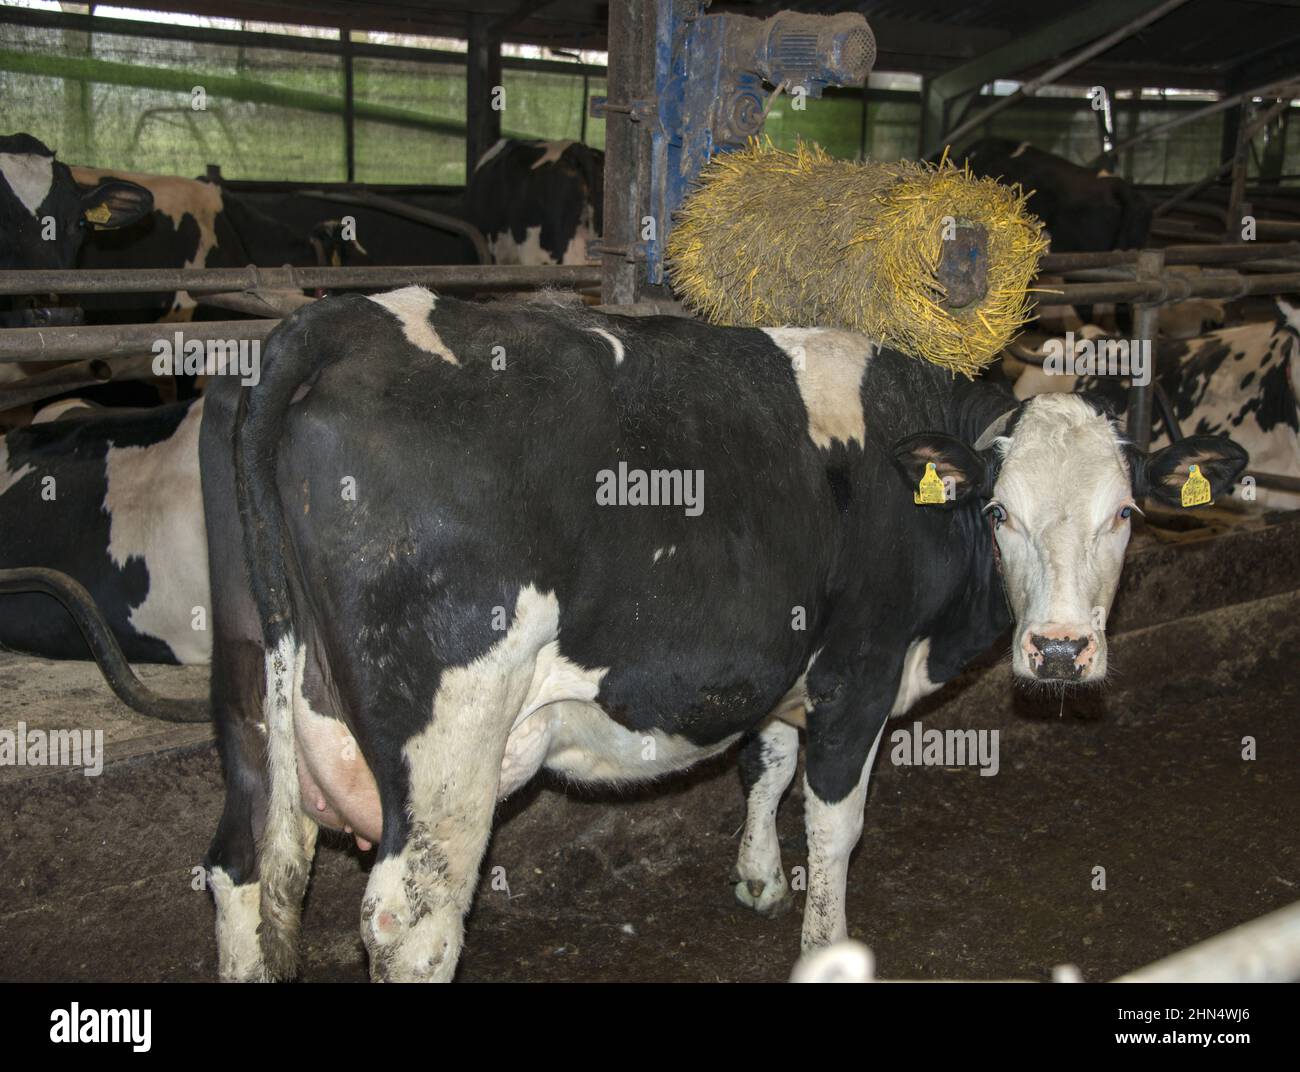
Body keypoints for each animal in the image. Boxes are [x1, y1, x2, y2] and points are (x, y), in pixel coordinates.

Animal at [197, 286, 1245, 982]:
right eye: (1000, 514)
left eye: (1123, 514)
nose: (1061, 650)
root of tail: (339, 321)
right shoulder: (859, 670)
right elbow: (834, 819)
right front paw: (824, 946)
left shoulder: (786, 660)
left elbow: (765, 765)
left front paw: (756, 880)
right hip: (448, 741)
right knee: (411, 922)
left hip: (253, 703)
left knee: (252, 875)